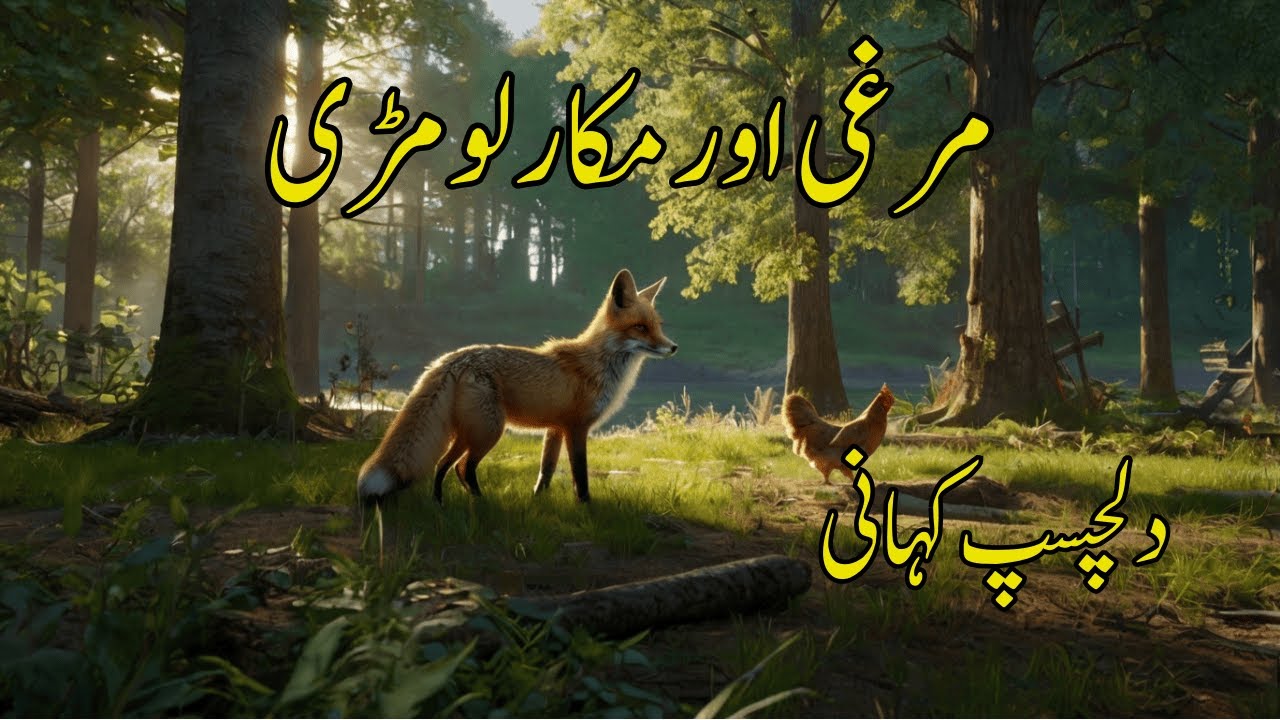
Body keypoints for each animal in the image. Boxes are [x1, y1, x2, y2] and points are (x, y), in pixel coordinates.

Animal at [357, 269, 678, 505]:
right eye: (640, 328)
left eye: (658, 326)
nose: (673, 348)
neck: (599, 365)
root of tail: (453, 358)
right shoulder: (576, 428)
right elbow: (581, 475)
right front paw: (586, 507)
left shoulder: (555, 429)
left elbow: (546, 471)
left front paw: (538, 501)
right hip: (489, 430)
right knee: (464, 467)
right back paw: (482, 503)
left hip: (469, 431)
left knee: (444, 465)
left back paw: (441, 502)